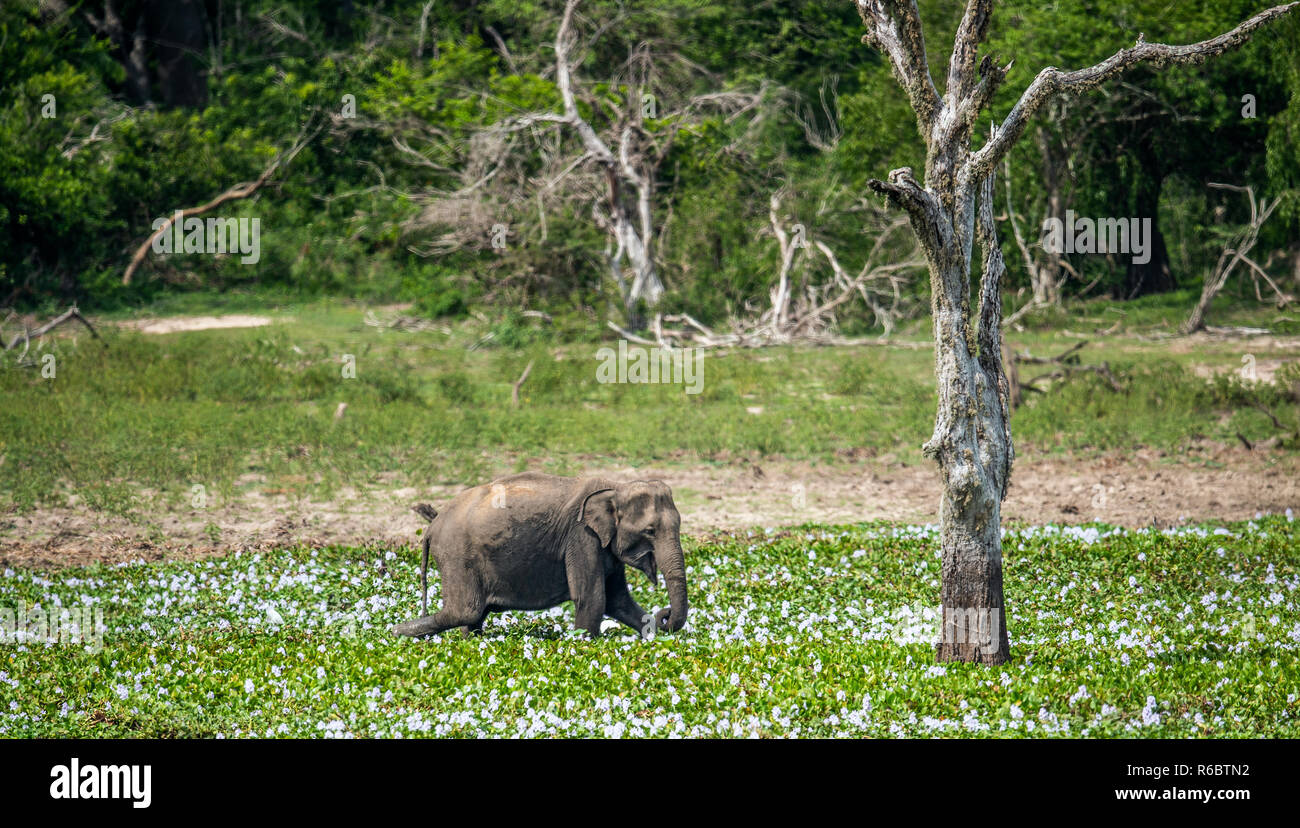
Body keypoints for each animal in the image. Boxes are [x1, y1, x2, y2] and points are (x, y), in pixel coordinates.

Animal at [390, 472, 689, 639]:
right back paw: (397, 632)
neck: (616, 487)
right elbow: (592, 598)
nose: (664, 616)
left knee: (471, 616)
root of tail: (432, 526)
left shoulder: (602, 543)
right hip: (457, 557)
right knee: (465, 611)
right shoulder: (581, 536)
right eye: (650, 530)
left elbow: (618, 601)